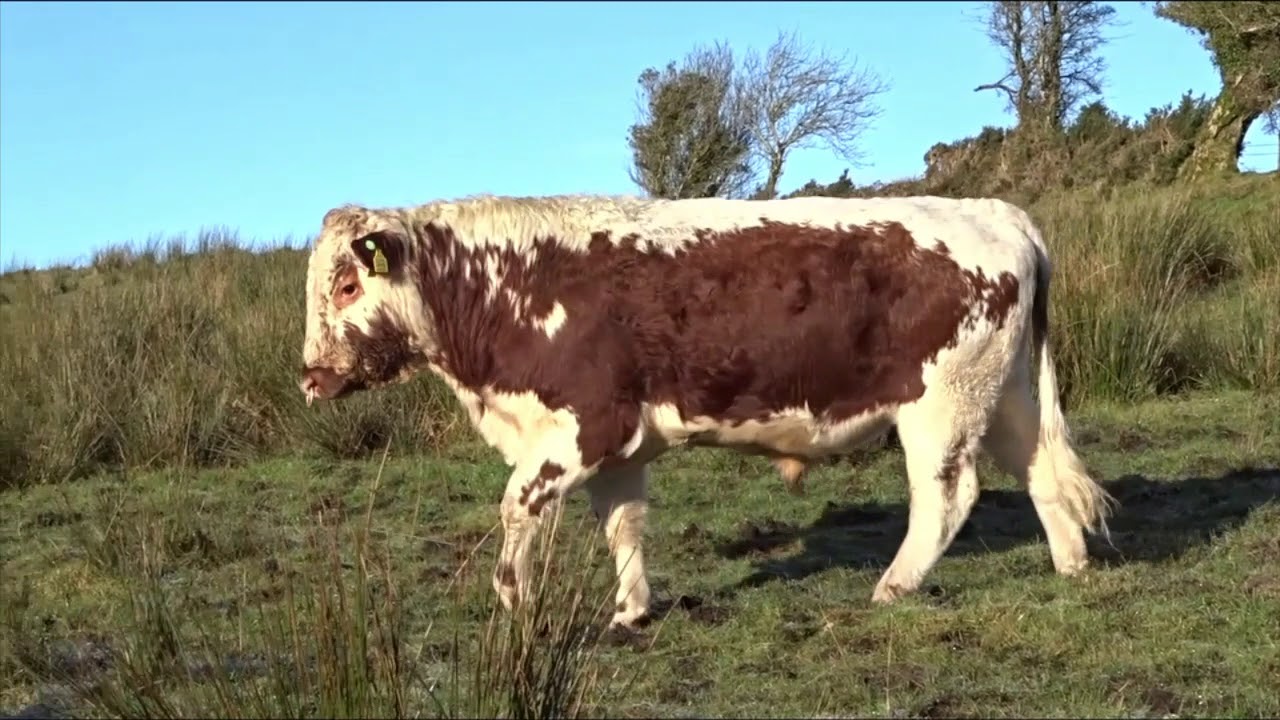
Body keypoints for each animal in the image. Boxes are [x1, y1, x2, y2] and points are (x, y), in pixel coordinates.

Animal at [298, 193, 1117, 630]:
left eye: (347, 284)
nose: (311, 375)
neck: (508, 287)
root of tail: (991, 210)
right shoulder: (620, 447)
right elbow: (623, 527)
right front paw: (630, 612)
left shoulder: (583, 427)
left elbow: (516, 509)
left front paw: (516, 604)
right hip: (1006, 397)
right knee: (1043, 475)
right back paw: (1071, 568)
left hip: (941, 406)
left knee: (948, 496)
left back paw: (893, 585)